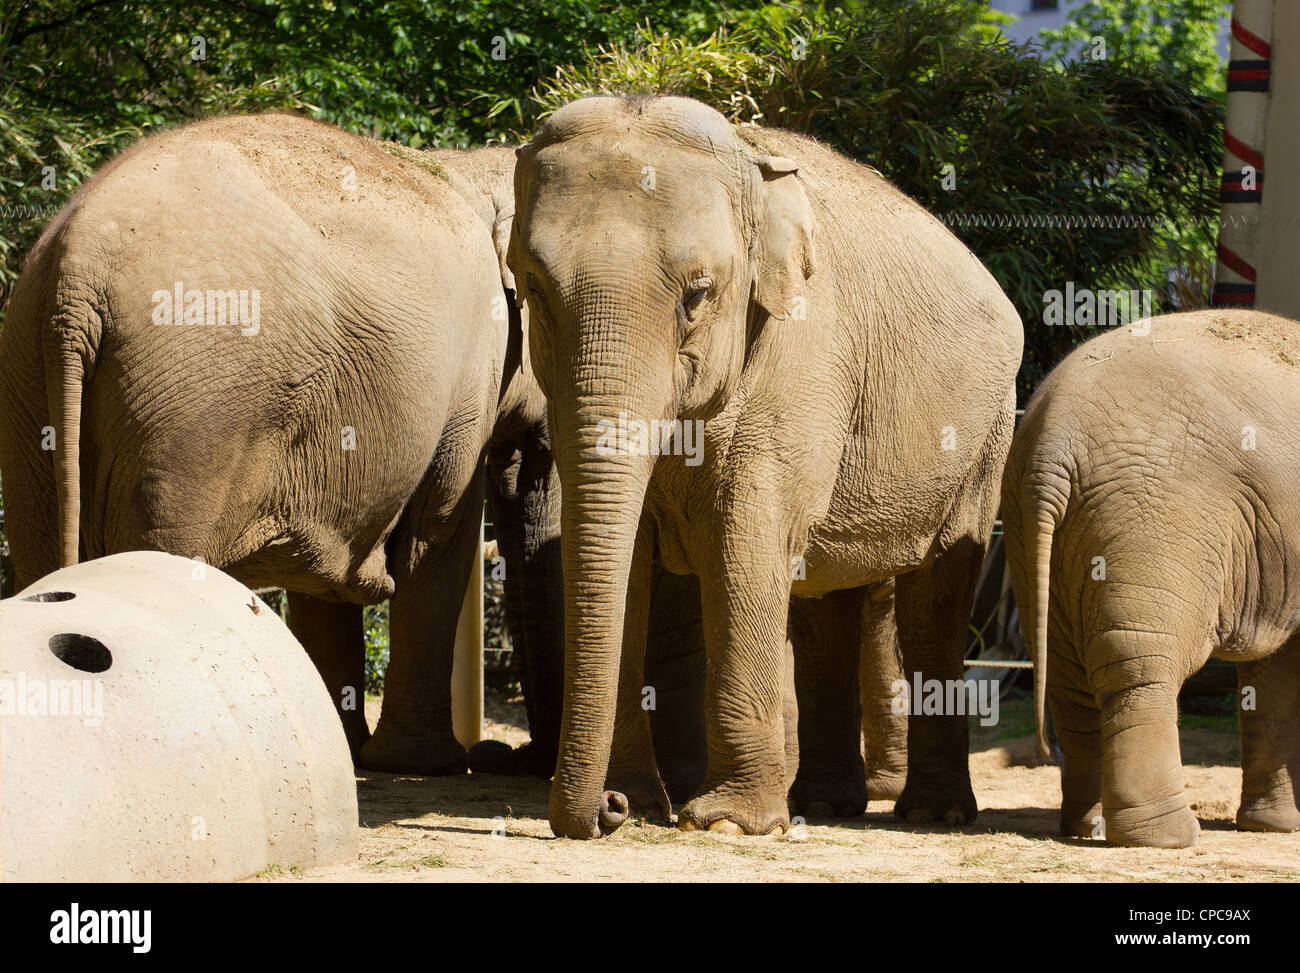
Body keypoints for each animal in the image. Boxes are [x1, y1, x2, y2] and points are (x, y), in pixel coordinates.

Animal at [0, 113, 544, 775]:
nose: (503, 757)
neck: (473, 165)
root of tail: (76, 271)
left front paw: (349, 748)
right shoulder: (470, 381)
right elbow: (437, 537)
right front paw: (421, 763)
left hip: (27, 383)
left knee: (39, 551)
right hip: (196, 410)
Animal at [506, 95, 1023, 838]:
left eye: (697, 294)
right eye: (535, 289)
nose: (606, 813)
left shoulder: (800, 354)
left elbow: (744, 542)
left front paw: (725, 822)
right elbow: (629, 560)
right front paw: (641, 801)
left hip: (985, 438)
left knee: (935, 600)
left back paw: (936, 811)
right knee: (823, 604)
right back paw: (823, 804)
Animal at [1002, 308, 1300, 848]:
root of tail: (1053, 441)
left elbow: (1276, 667)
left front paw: (1276, 828)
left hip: (1024, 524)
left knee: (1067, 678)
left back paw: (1087, 825)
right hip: (1155, 519)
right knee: (1139, 663)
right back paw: (1167, 836)